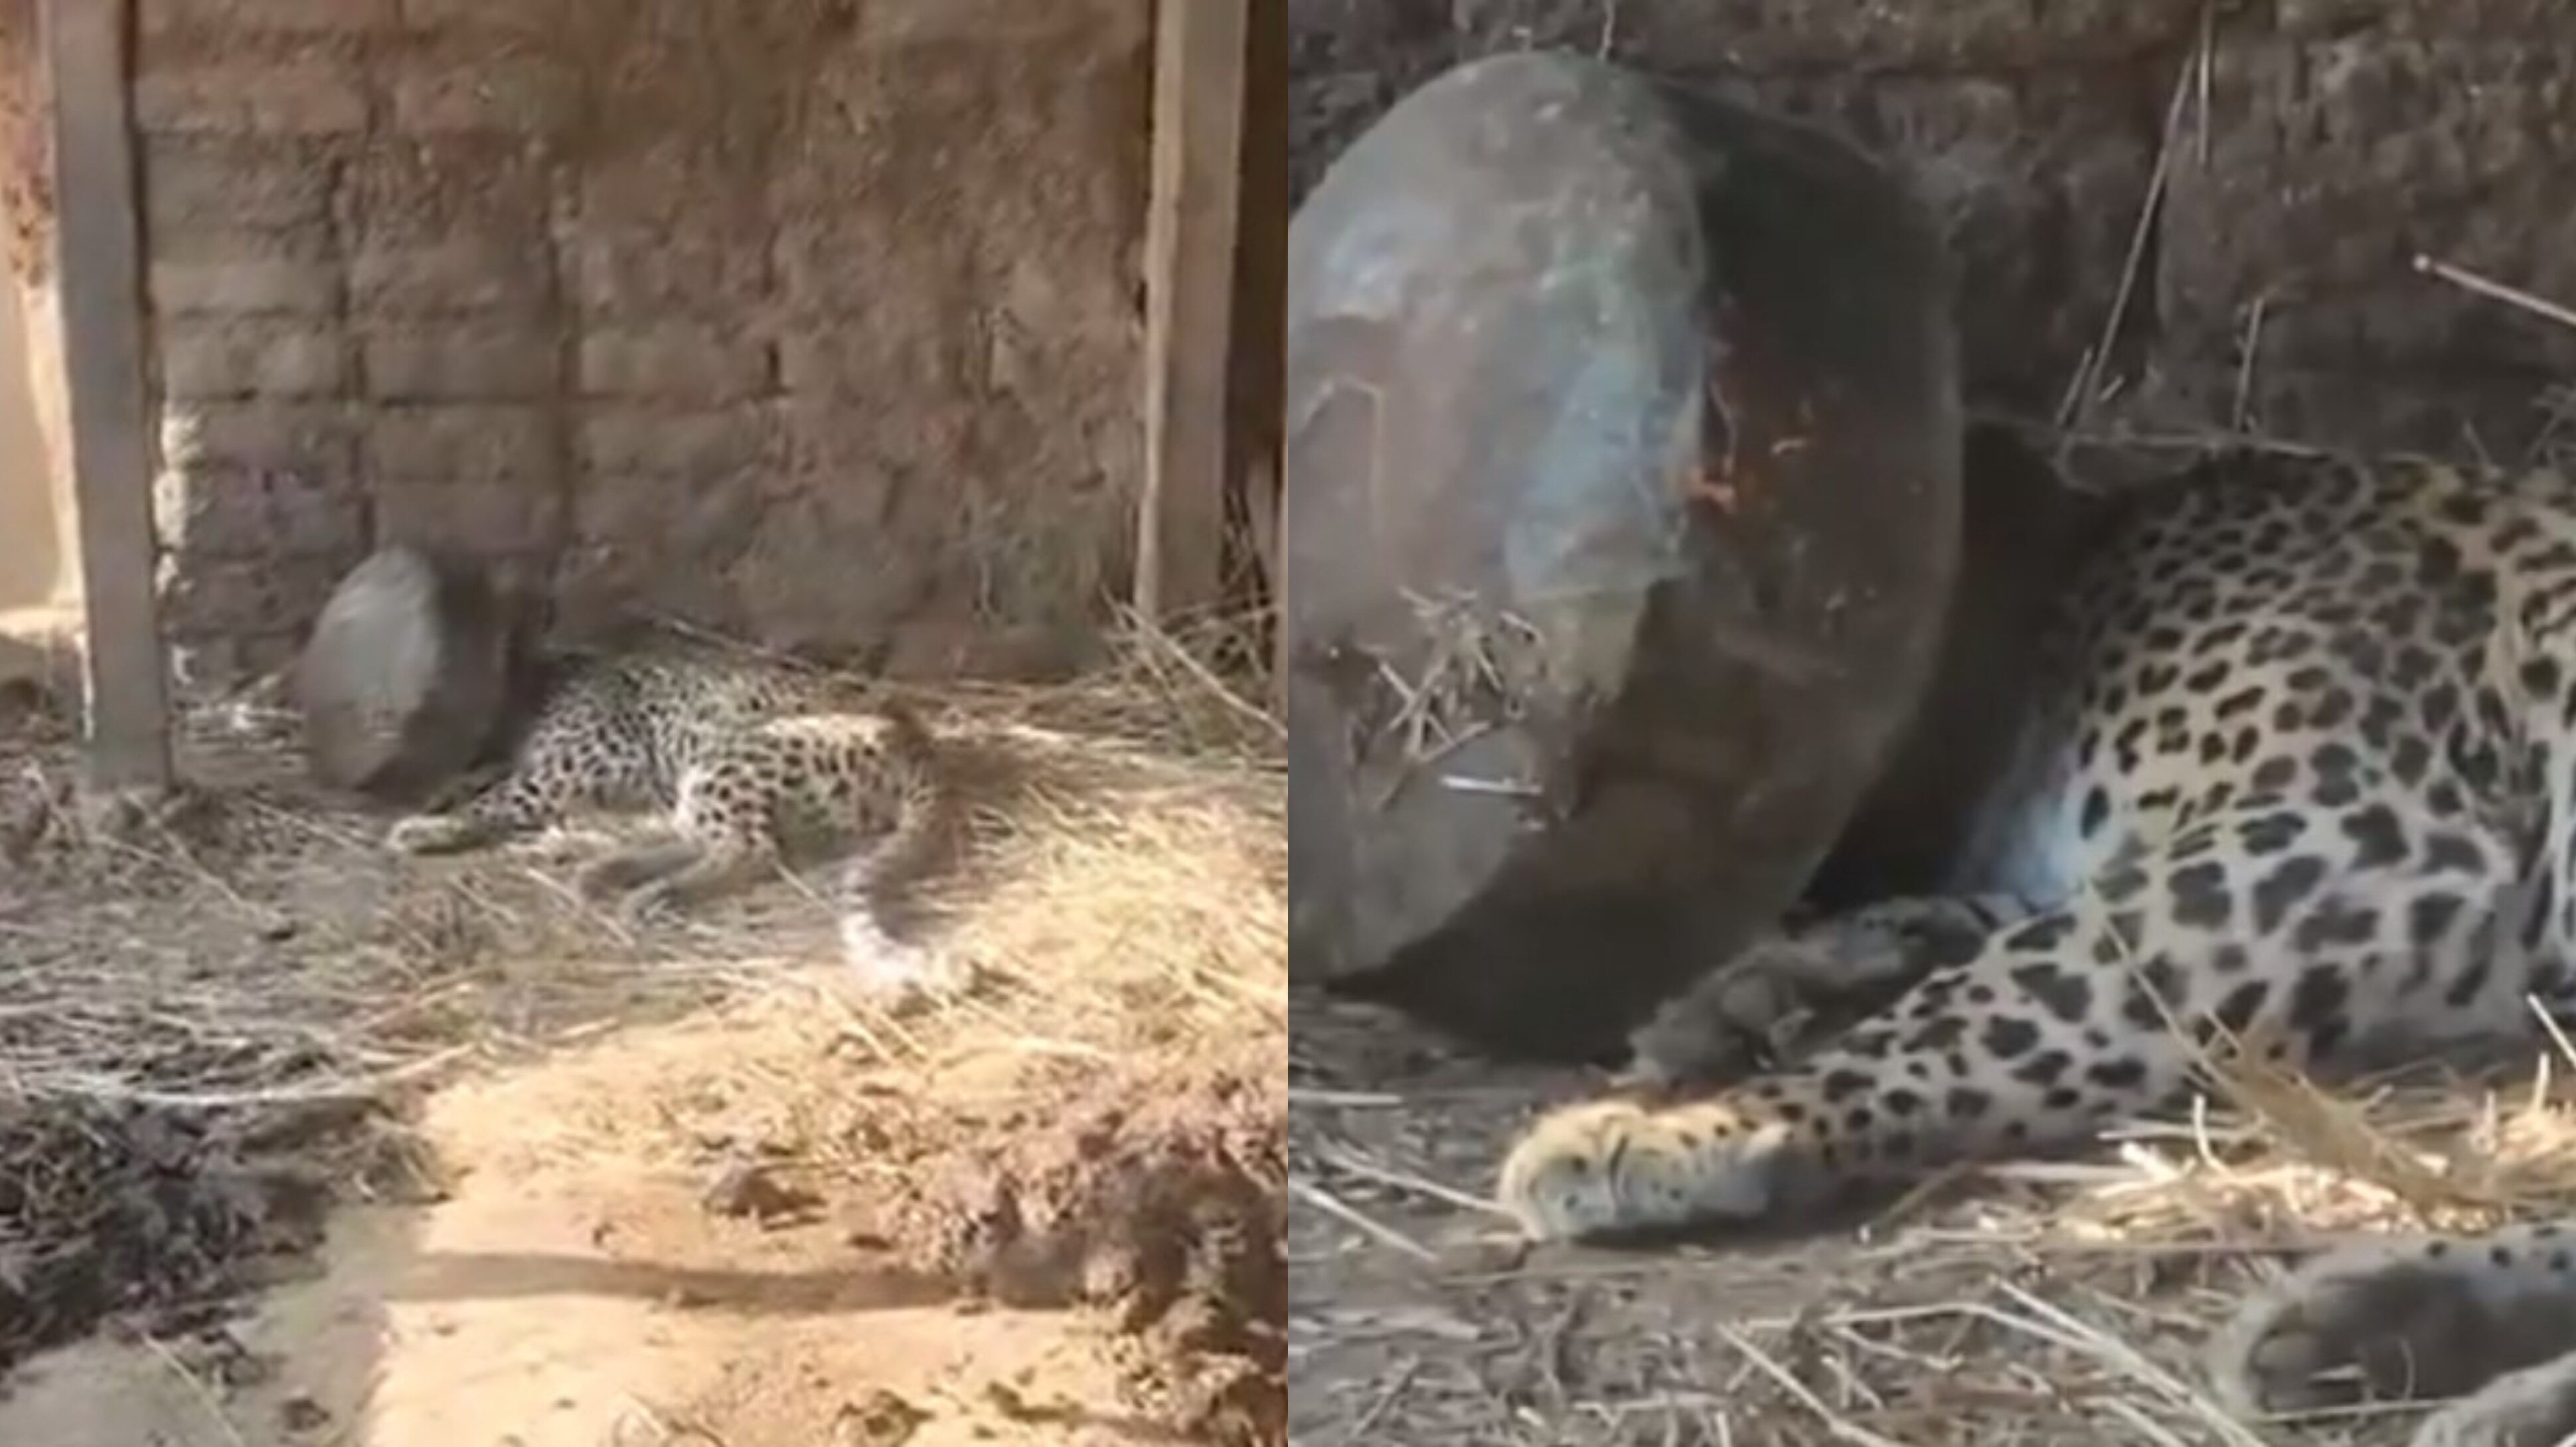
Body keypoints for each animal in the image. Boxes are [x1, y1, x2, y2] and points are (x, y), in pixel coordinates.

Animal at [384, 642, 951, 993]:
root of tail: (917, 742)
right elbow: (478, 783)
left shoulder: (559, 774)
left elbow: (495, 798)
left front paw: (426, 827)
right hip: (707, 778)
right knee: (701, 838)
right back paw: (607, 870)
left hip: (726, 757)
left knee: (750, 849)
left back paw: (647, 892)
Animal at [1491, 447, 2576, 1446]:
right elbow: (1981, 938)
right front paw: (1746, 1004)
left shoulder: (2340, 839)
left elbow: (1992, 1000)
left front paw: (1683, 1130)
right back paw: (2380, 1325)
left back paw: (2459, 1376)